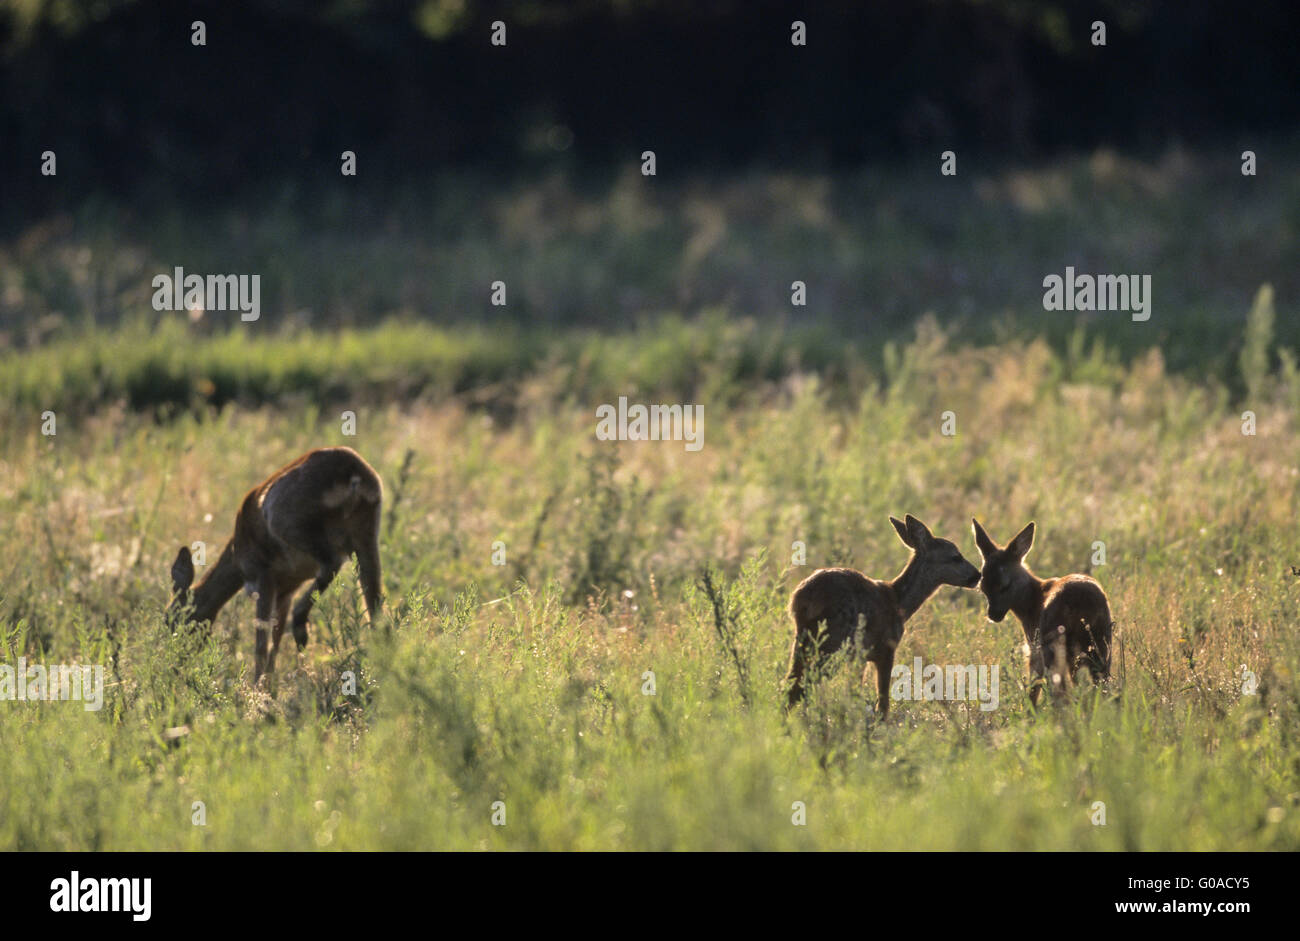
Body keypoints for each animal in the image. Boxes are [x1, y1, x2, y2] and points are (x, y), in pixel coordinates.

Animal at [167, 447, 384, 682]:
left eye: (172, 619)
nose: (175, 664)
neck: (236, 555)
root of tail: (353, 474)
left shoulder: (263, 576)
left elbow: (261, 643)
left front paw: (256, 688)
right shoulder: (286, 590)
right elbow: (275, 642)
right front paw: (270, 687)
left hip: (293, 526)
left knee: (332, 563)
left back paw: (301, 627)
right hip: (365, 537)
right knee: (376, 609)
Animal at [783, 515, 981, 718]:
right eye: (955, 556)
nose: (977, 575)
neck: (899, 602)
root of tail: (802, 596)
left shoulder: (859, 657)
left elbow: (854, 690)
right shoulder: (886, 647)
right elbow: (883, 700)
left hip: (804, 639)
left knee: (792, 681)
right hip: (833, 641)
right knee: (803, 684)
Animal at [971, 519, 1111, 706]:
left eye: (1005, 586)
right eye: (983, 587)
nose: (993, 615)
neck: (1032, 600)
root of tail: (1081, 605)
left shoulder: (1033, 645)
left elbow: (1033, 683)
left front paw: (1028, 709)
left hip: (1052, 642)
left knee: (1060, 690)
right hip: (1101, 642)